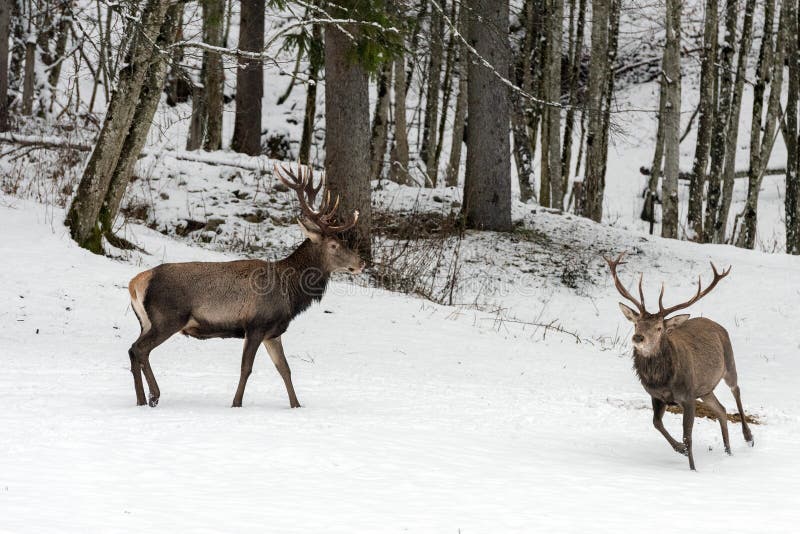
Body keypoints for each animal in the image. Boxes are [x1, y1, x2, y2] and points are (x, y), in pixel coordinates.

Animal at [126, 164, 364, 409]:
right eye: (334, 245)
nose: (361, 263)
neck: (290, 292)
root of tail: (136, 283)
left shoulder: (273, 332)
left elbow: (284, 369)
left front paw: (296, 405)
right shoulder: (256, 325)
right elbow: (246, 368)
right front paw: (236, 403)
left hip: (146, 322)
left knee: (134, 350)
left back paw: (142, 400)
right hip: (168, 318)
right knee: (139, 349)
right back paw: (154, 396)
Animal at [605, 253, 754, 470]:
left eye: (659, 328)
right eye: (636, 323)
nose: (638, 337)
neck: (664, 379)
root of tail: (717, 324)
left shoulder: (688, 395)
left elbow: (687, 436)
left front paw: (692, 468)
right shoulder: (658, 396)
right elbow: (657, 423)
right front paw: (680, 450)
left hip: (729, 363)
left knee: (736, 390)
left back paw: (749, 437)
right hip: (705, 389)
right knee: (721, 410)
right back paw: (728, 451)